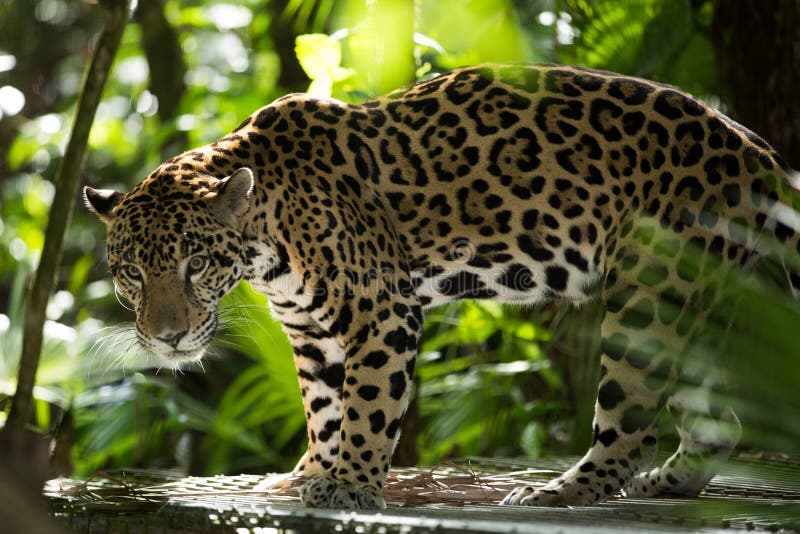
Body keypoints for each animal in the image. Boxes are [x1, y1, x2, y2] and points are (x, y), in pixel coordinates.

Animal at [84, 64, 800, 509]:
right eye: (131, 273)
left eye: (195, 263)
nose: (169, 338)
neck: (266, 237)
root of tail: (756, 150)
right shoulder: (311, 334)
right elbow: (323, 408)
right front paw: (308, 475)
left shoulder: (380, 309)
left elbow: (368, 406)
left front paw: (351, 485)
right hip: (702, 302)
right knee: (722, 422)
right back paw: (665, 484)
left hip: (650, 299)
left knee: (628, 426)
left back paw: (557, 493)